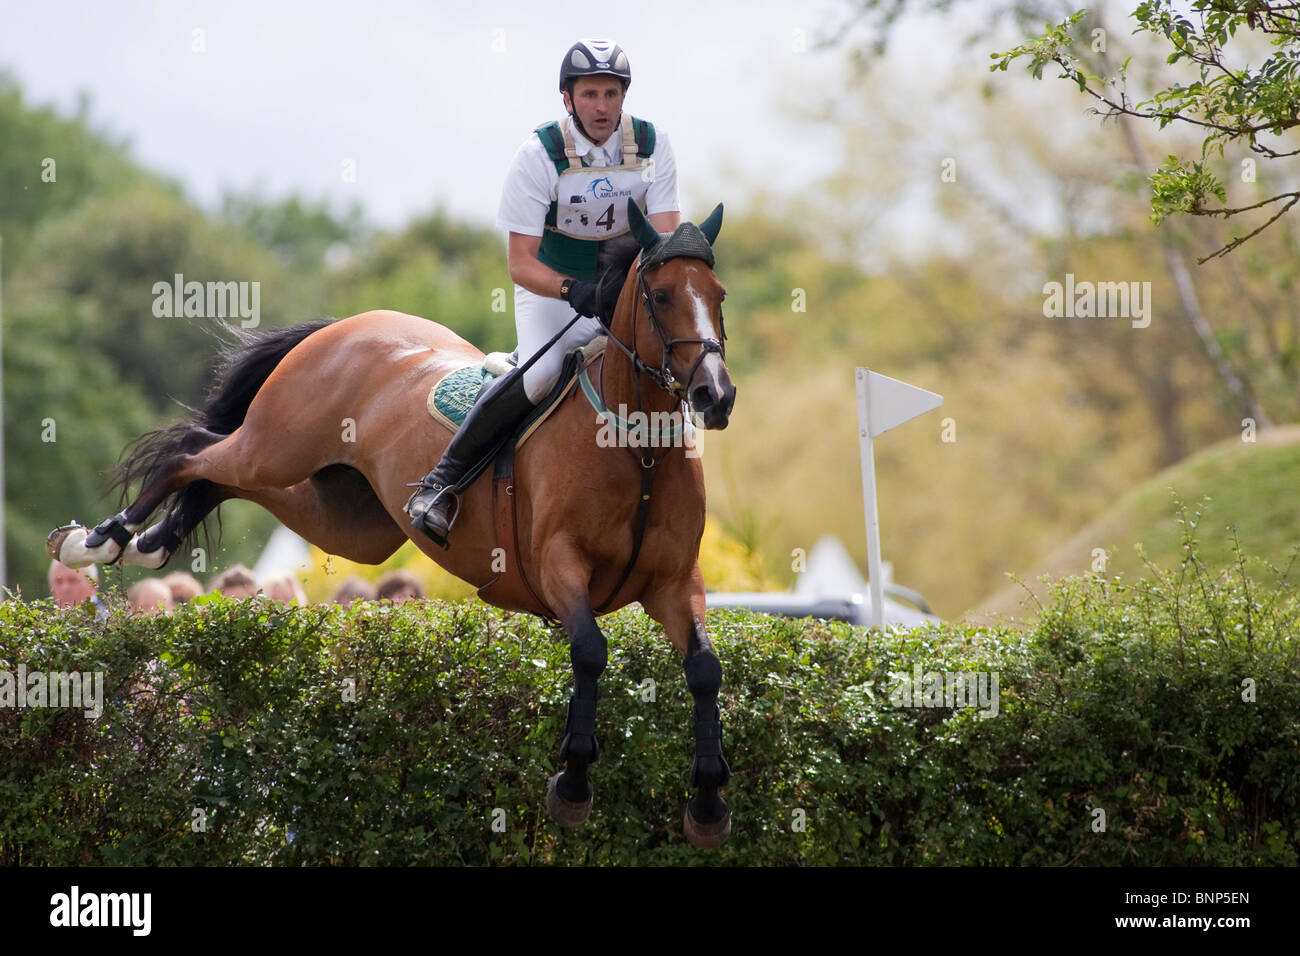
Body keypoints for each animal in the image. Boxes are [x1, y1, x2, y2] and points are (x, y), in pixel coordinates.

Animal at [46, 200, 738, 848]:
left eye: (718, 295)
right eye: (660, 295)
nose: (716, 395)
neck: (638, 449)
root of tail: (347, 324)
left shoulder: (674, 582)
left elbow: (706, 669)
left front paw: (708, 803)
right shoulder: (557, 565)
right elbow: (590, 651)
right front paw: (571, 785)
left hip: (349, 521)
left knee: (219, 479)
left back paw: (149, 544)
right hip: (278, 446)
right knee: (193, 451)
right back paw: (95, 541)